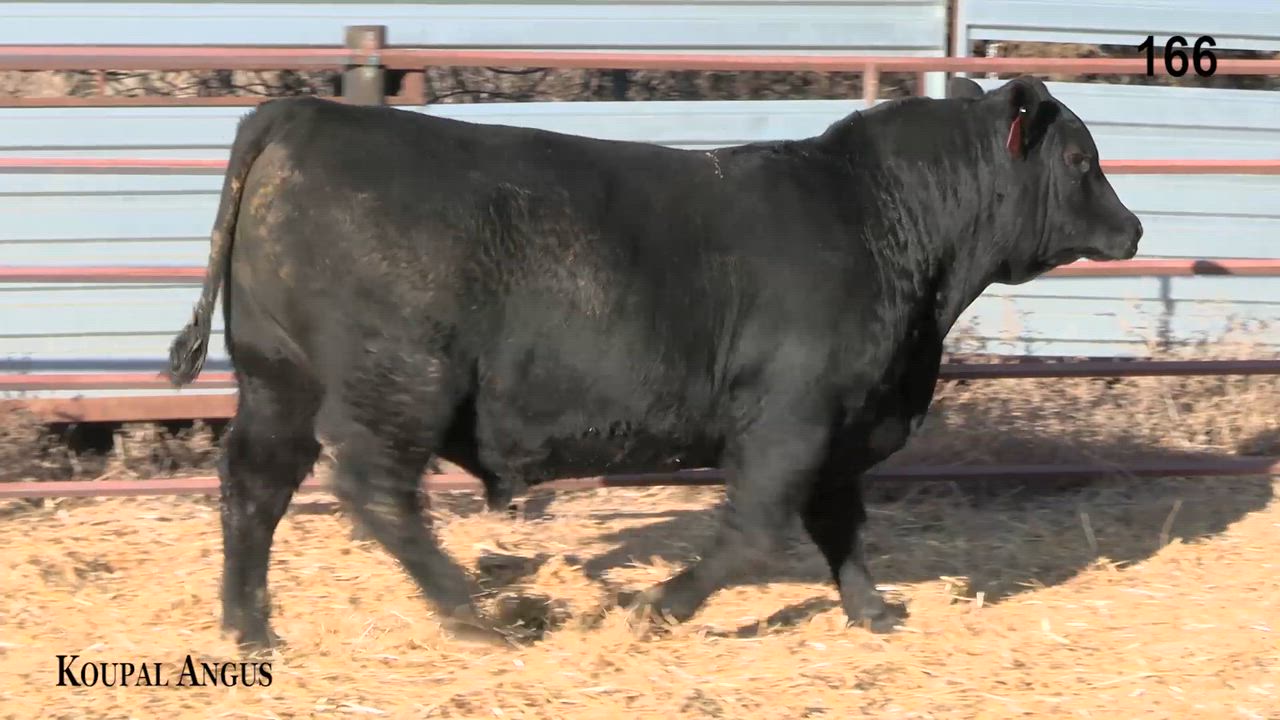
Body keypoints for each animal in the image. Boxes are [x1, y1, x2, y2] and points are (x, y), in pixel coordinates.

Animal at [167, 74, 1142, 651]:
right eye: (1080, 157)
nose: (1132, 227)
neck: (881, 221)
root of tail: (308, 111)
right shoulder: (791, 421)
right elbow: (754, 533)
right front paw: (657, 608)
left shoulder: (841, 426)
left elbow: (842, 528)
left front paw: (874, 612)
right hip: (398, 383)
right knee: (376, 493)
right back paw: (478, 619)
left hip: (279, 381)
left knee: (254, 488)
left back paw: (249, 628)